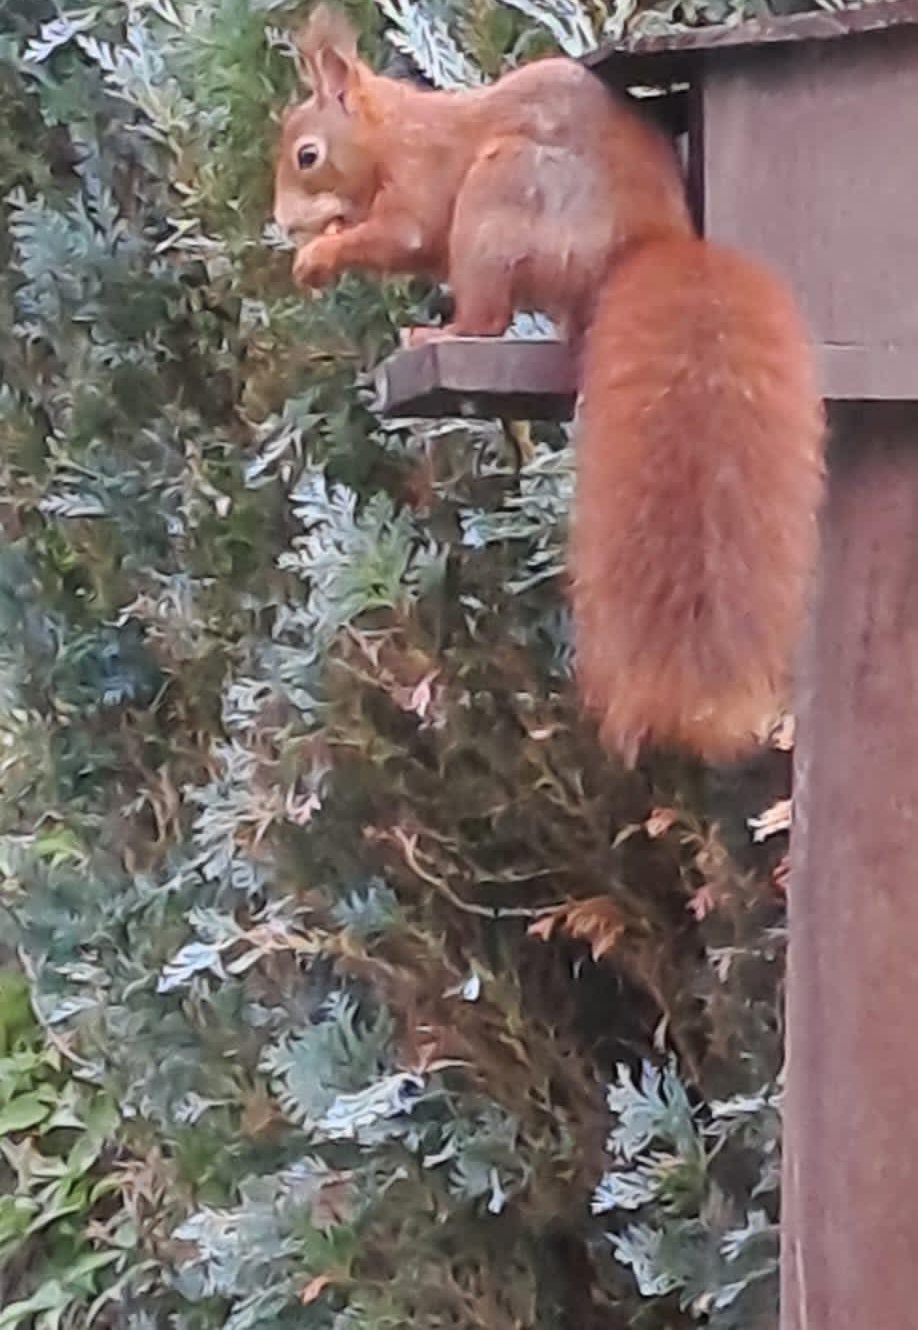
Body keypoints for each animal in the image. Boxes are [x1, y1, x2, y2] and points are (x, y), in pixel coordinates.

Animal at [273, 5, 825, 765]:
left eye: (307, 155)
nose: (279, 223)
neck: (393, 135)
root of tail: (650, 238)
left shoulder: (422, 182)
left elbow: (404, 233)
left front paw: (321, 253)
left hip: (501, 199)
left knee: (487, 315)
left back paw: (438, 335)